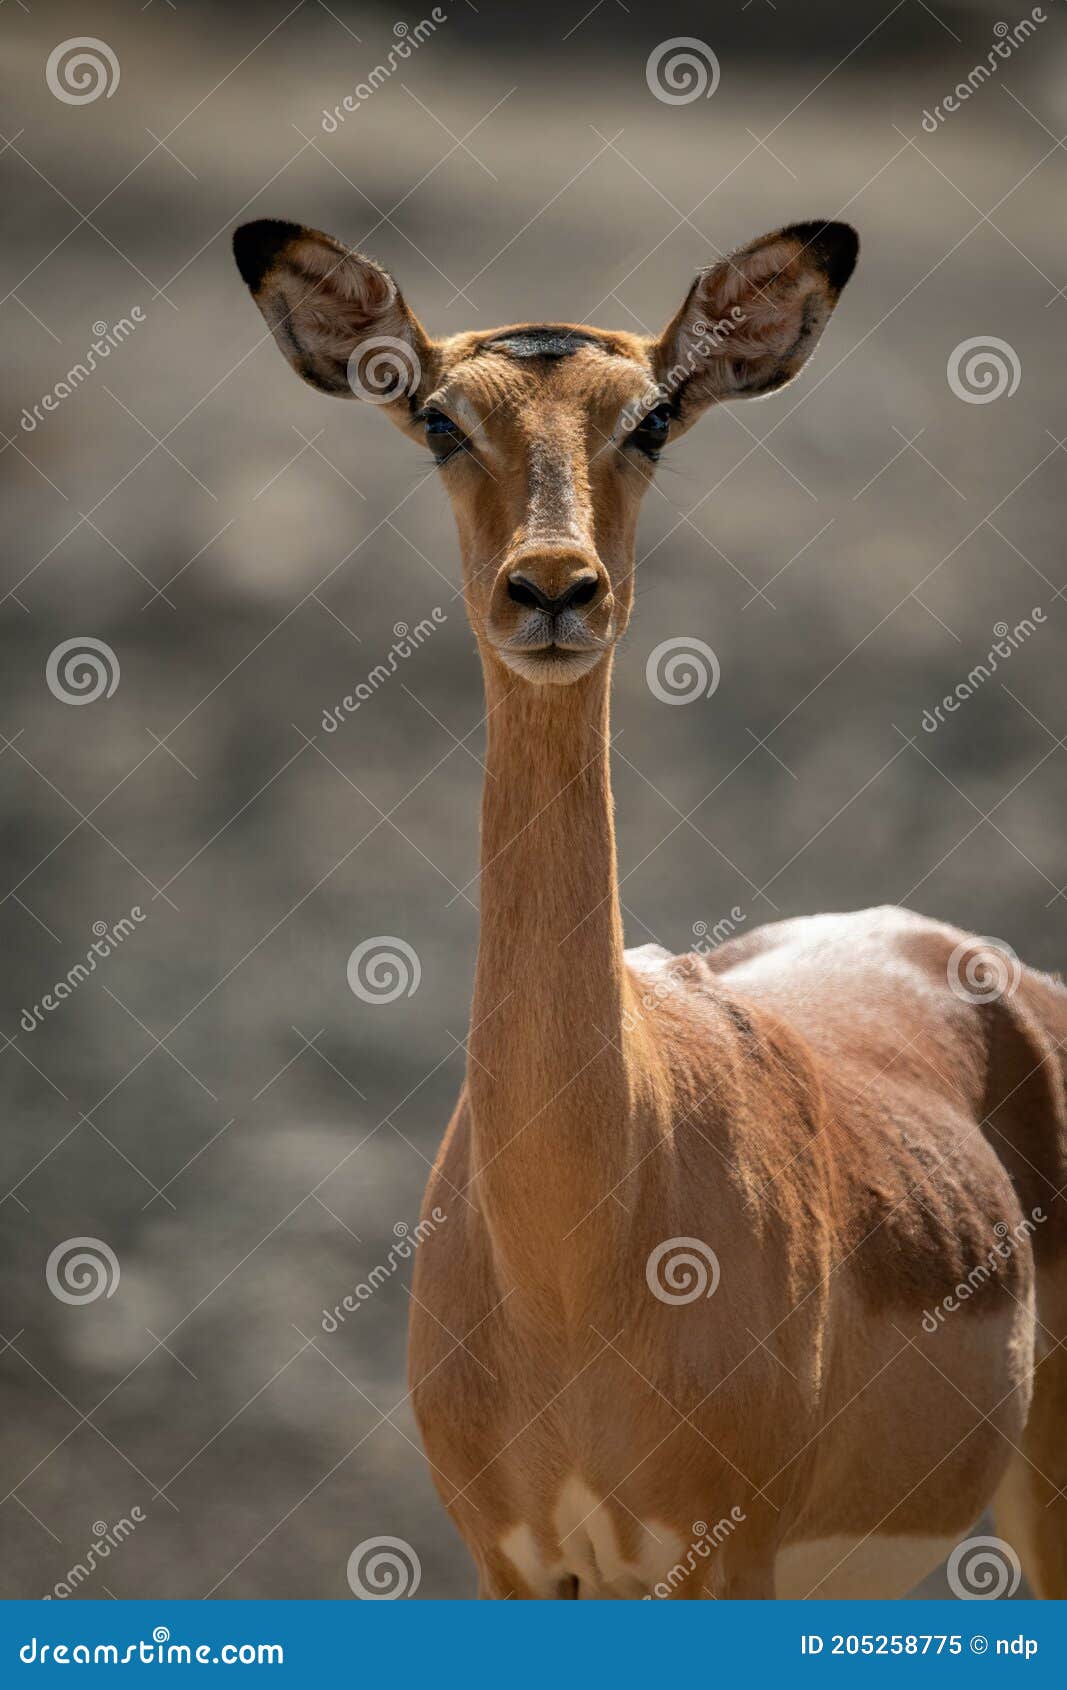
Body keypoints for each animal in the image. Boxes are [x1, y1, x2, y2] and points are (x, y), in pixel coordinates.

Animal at [235, 216, 1067, 1600]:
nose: (552, 589)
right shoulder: (514, 1564)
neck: (572, 1258)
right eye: (442, 418)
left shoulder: (718, 1558)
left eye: (654, 417)